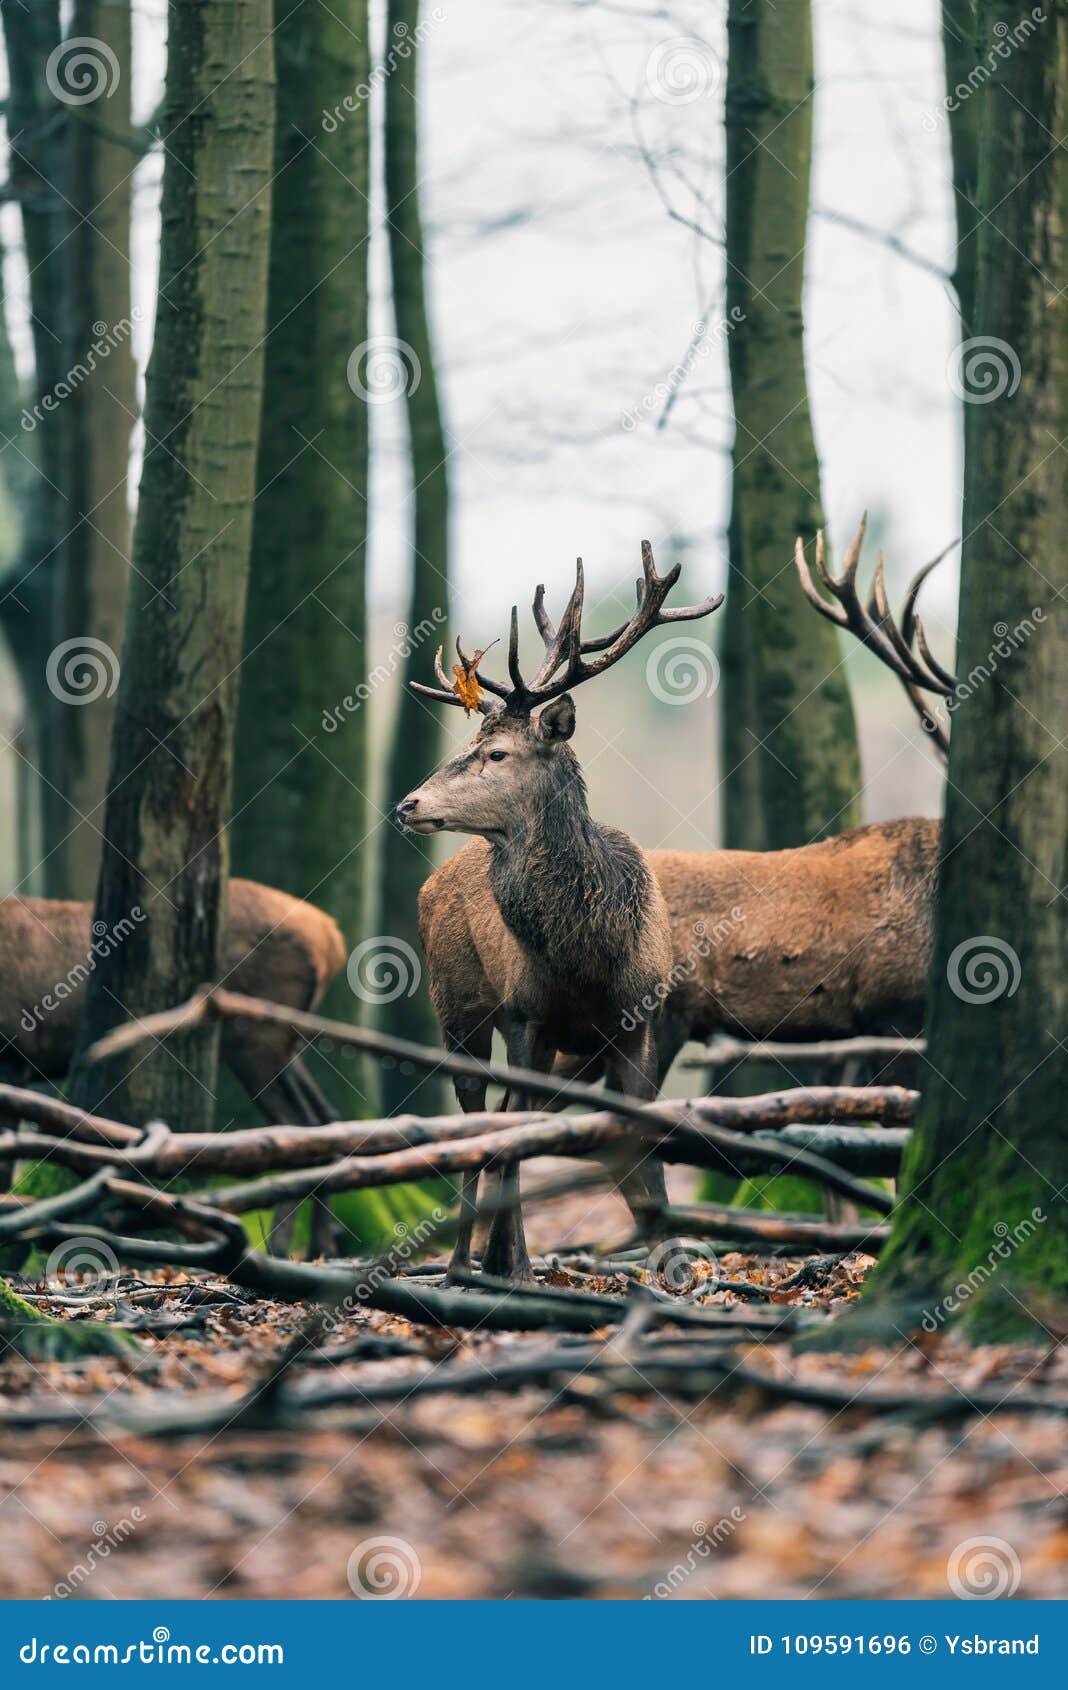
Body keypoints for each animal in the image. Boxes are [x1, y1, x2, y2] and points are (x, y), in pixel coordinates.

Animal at [396, 544, 723, 1281]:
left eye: (496, 752)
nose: (407, 804)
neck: (586, 957)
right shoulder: (525, 1013)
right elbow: (513, 1135)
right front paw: (510, 1264)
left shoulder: (638, 1022)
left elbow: (644, 1144)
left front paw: (672, 1264)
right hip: (456, 1007)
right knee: (479, 1118)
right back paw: (464, 1263)